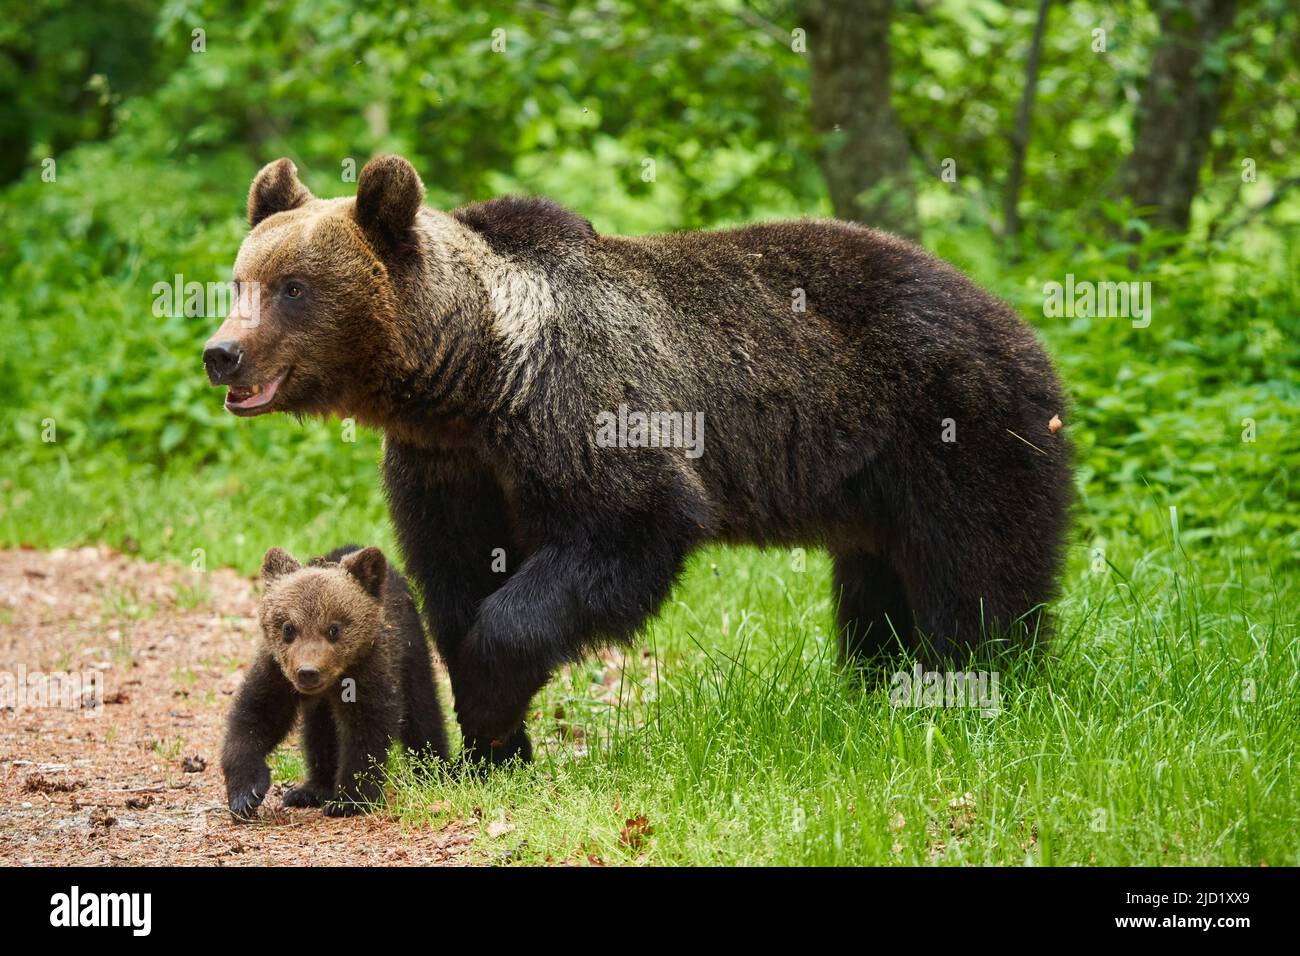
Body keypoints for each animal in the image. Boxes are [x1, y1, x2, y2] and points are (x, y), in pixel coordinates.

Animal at [203, 155, 1072, 767]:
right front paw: (494, 748)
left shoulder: (579, 406)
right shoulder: (448, 465)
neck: (471, 375)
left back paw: (974, 691)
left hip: (957, 427)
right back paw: (871, 686)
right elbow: (456, 573)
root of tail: (1019, 322)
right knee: (873, 588)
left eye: (293, 287)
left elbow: (625, 526)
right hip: (873, 487)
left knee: (978, 574)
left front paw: (488, 700)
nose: (221, 353)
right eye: (241, 280)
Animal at [221, 544, 449, 817]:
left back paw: (432, 772)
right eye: (288, 628)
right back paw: (310, 790)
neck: (334, 681)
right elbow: (255, 717)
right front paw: (246, 794)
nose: (308, 672)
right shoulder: (276, 673)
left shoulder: (369, 669)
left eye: (334, 628)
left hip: (410, 649)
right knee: (319, 731)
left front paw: (349, 800)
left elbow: (366, 731)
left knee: (423, 709)